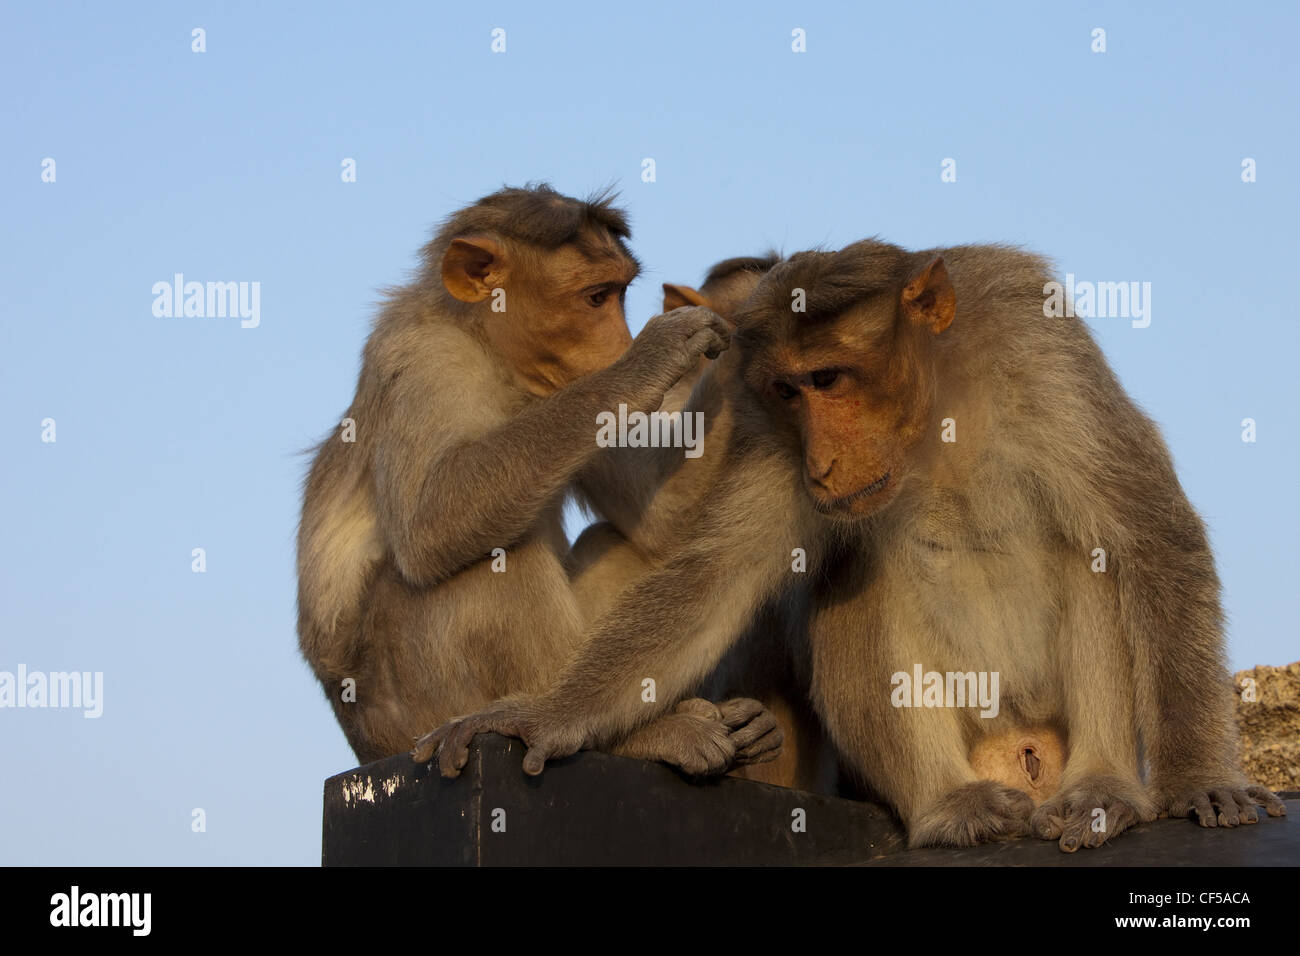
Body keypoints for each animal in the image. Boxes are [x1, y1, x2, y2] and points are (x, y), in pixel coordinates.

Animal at [297, 183, 780, 776]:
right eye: (597, 297)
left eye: (621, 292)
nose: (621, 343)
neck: (494, 355)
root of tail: (365, 751)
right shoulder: (422, 358)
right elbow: (429, 523)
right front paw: (646, 361)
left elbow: (666, 516)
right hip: (412, 717)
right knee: (489, 557)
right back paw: (613, 731)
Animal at [417, 238, 1285, 852]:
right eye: (788, 390)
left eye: (830, 379)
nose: (825, 463)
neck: (932, 419)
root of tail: (1017, 757)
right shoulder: (768, 427)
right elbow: (719, 572)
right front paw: (540, 717)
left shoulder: (1037, 346)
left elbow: (1147, 531)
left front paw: (1199, 781)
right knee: (854, 576)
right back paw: (948, 807)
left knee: (1093, 554)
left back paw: (1101, 792)